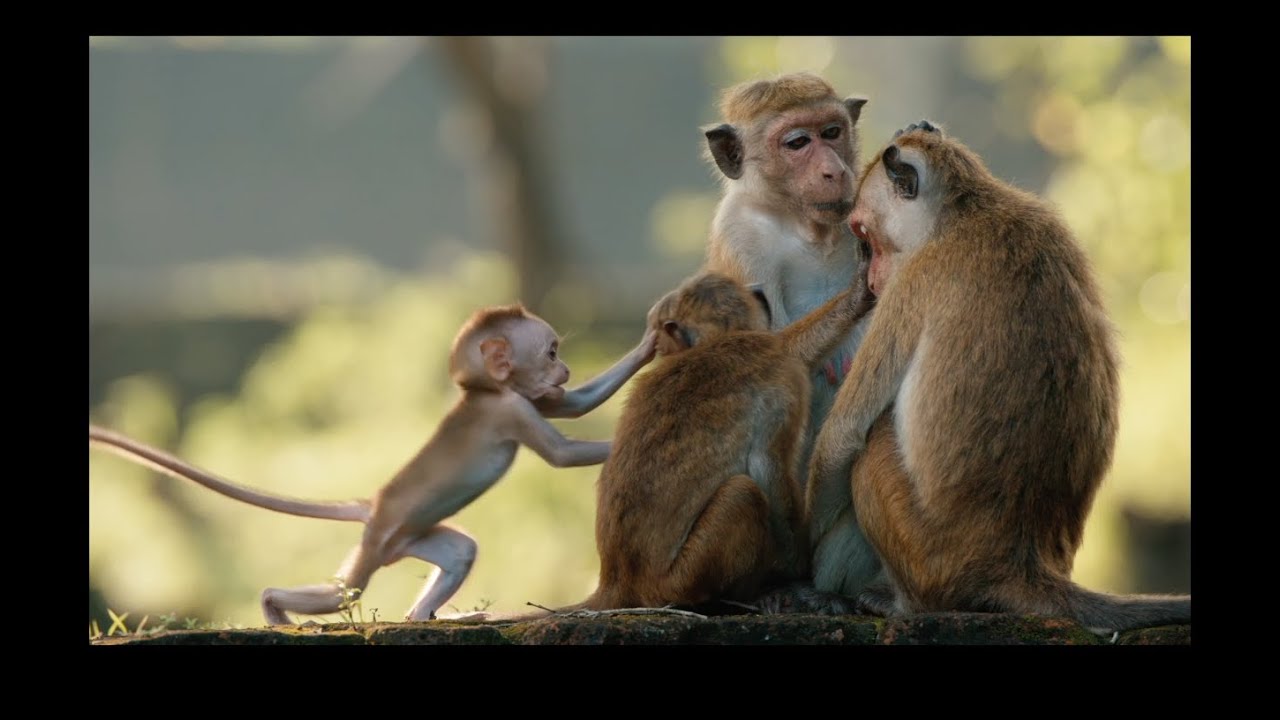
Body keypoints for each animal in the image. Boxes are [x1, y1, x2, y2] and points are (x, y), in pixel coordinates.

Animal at [89, 303, 657, 626]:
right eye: (552, 351)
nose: (564, 369)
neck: (486, 390)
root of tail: (373, 506)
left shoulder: (522, 400)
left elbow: (574, 406)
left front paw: (650, 344)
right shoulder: (509, 410)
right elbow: (561, 453)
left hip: (409, 538)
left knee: (459, 553)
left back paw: (427, 616)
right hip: (378, 542)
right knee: (346, 593)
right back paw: (274, 608)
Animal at [574, 267, 874, 612]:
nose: (659, 348)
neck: (720, 342)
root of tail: (618, 579)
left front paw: (858, 296)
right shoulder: (779, 372)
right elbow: (767, 464)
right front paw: (797, 567)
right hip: (680, 578)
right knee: (742, 493)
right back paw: (744, 593)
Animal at [701, 72, 872, 481]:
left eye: (832, 132)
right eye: (797, 143)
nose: (835, 171)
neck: (806, 226)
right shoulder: (741, 238)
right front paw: (859, 291)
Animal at [804, 120, 1191, 632]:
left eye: (866, 233)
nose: (872, 282)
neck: (968, 211)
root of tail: (1017, 562)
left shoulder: (913, 283)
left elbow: (844, 437)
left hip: (927, 554)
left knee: (870, 451)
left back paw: (907, 604)